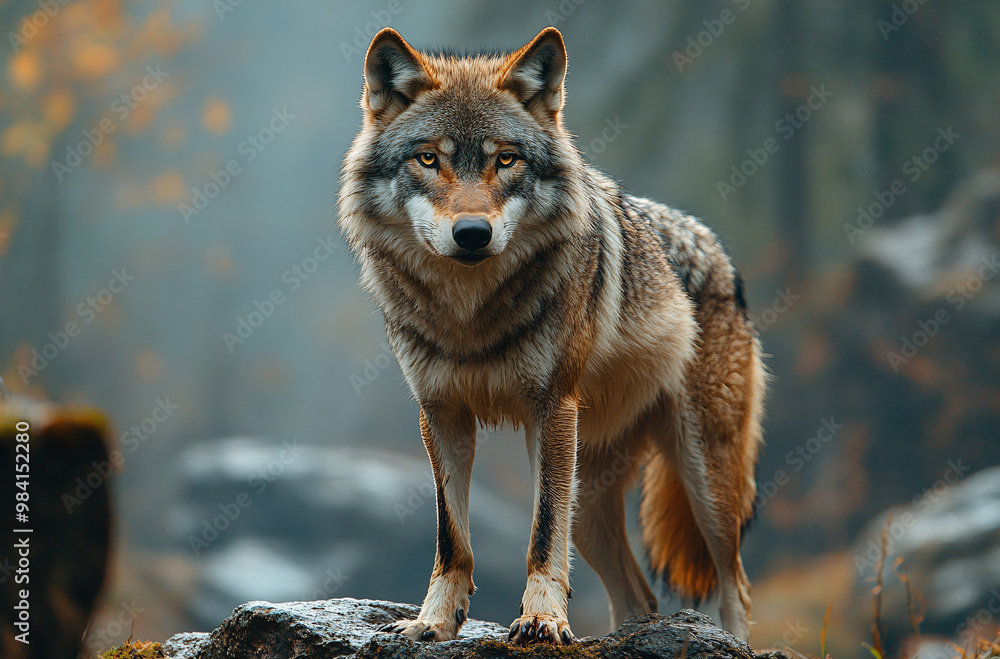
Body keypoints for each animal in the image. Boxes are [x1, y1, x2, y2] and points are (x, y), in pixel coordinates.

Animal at [338, 26, 766, 646]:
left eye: (506, 159)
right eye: (428, 159)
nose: (472, 233)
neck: (470, 315)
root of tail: (718, 251)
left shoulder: (551, 408)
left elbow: (541, 535)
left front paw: (541, 620)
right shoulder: (440, 413)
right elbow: (452, 537)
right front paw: (433, 622)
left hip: (700, 478)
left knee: (735, 584)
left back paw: (732, 641)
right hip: (587, 496)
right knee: (639, 598)